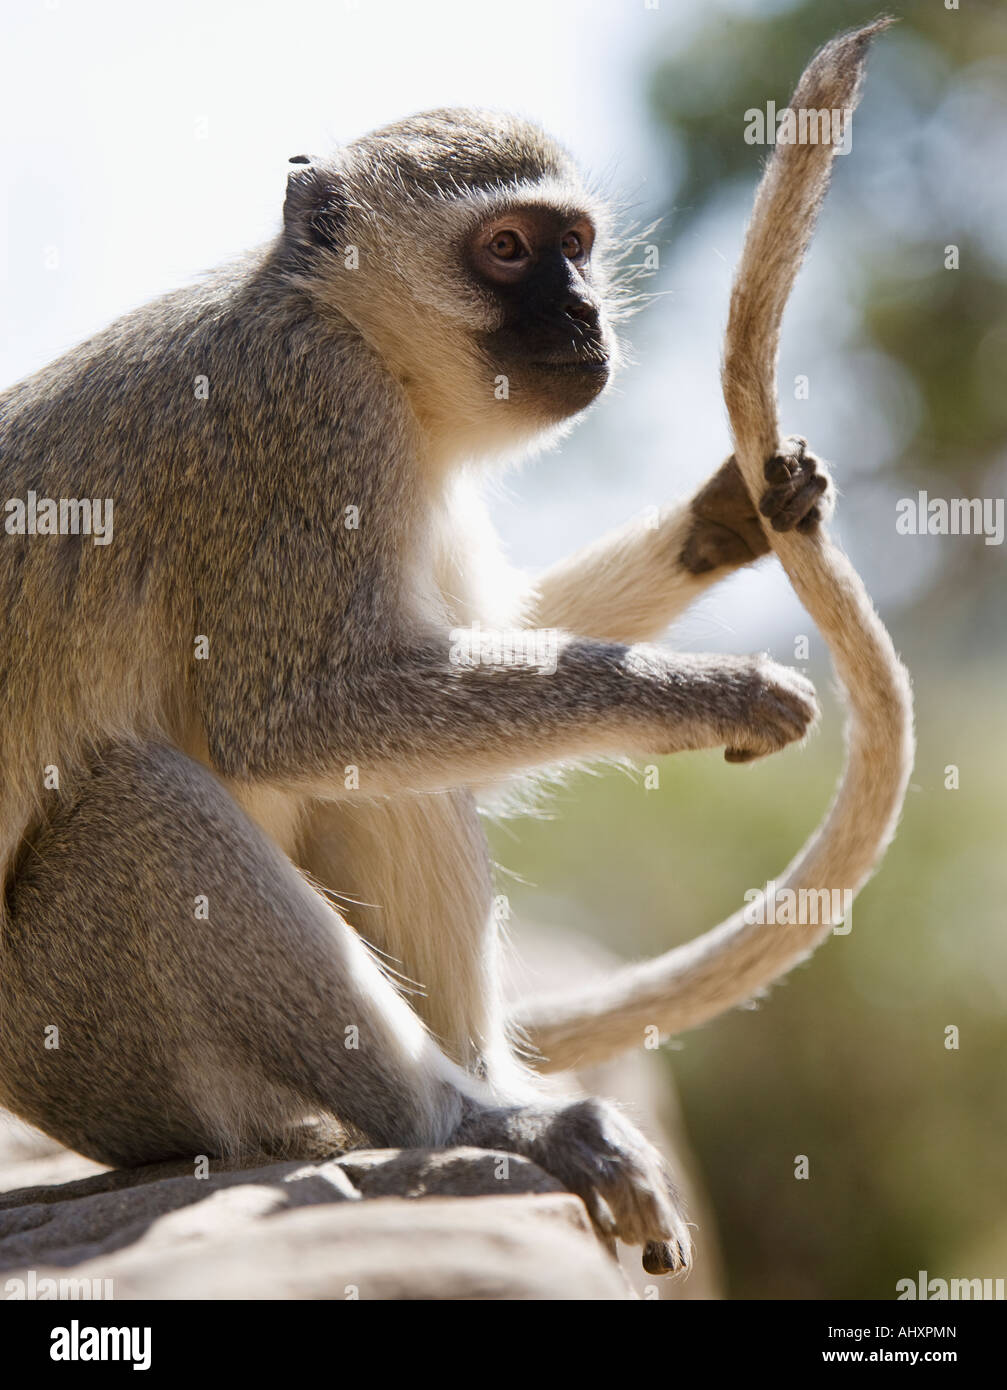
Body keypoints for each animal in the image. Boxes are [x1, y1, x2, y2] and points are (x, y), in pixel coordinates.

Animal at [0, 106, 845, 1278]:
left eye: (575, 243)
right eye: (507, 249)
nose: (584, 311)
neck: (348, 326)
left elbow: (471, 646)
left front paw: (724, 517)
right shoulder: (317, 416)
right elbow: (290, 717)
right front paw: (703, 693)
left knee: (391, 777)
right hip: (91, 1046)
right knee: (148, 808)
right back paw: (473, 1117)